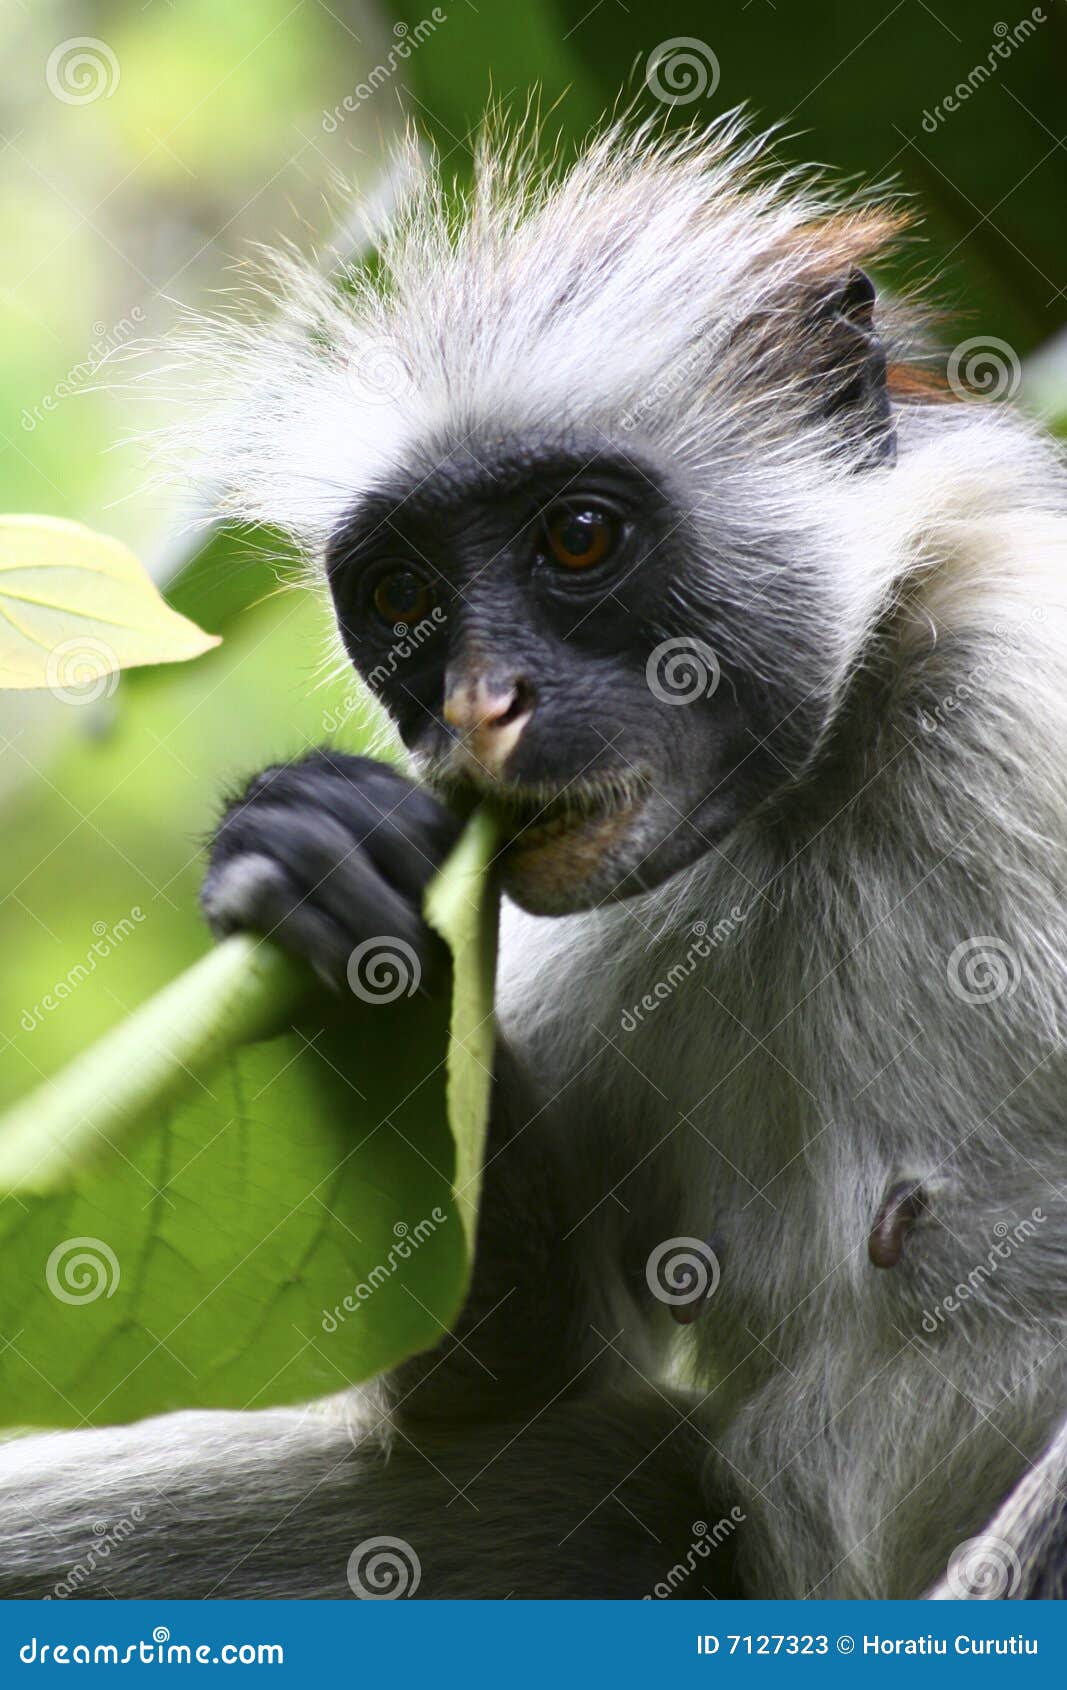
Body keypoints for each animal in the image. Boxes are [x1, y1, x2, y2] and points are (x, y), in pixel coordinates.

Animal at [2, 111, 1067, 1601]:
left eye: (576, 536)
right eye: (401, 595)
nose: (475, 706)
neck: (822, 792)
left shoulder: (1024, 678)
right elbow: (513, 1373)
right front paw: (340, 887)